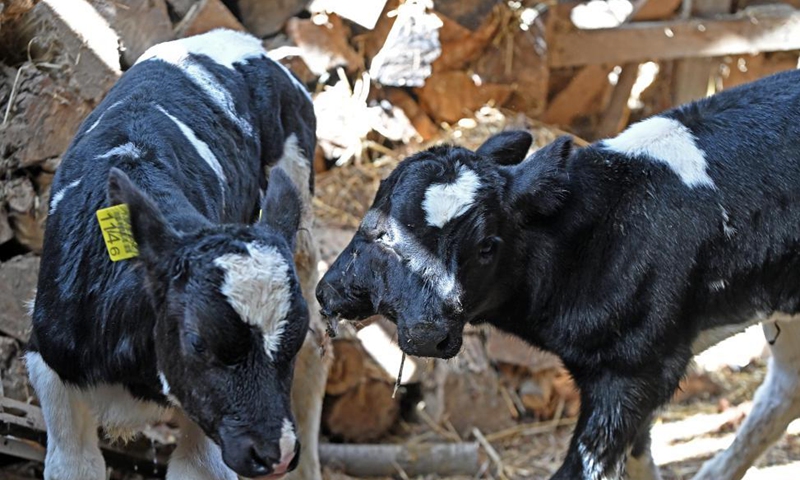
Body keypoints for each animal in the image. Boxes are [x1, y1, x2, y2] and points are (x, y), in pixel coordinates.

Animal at [26, 29, 328, 480]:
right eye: (198, 341)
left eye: (287, 341)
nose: (274, 454)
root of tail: (246, 42)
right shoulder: (51, 367)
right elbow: (75, 462)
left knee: (319, 343)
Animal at [316, 69, 800, 480]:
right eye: (376, 231)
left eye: (487, 245)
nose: (425, 332)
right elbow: (639, 454)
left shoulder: (636, 368)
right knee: (785, 389)